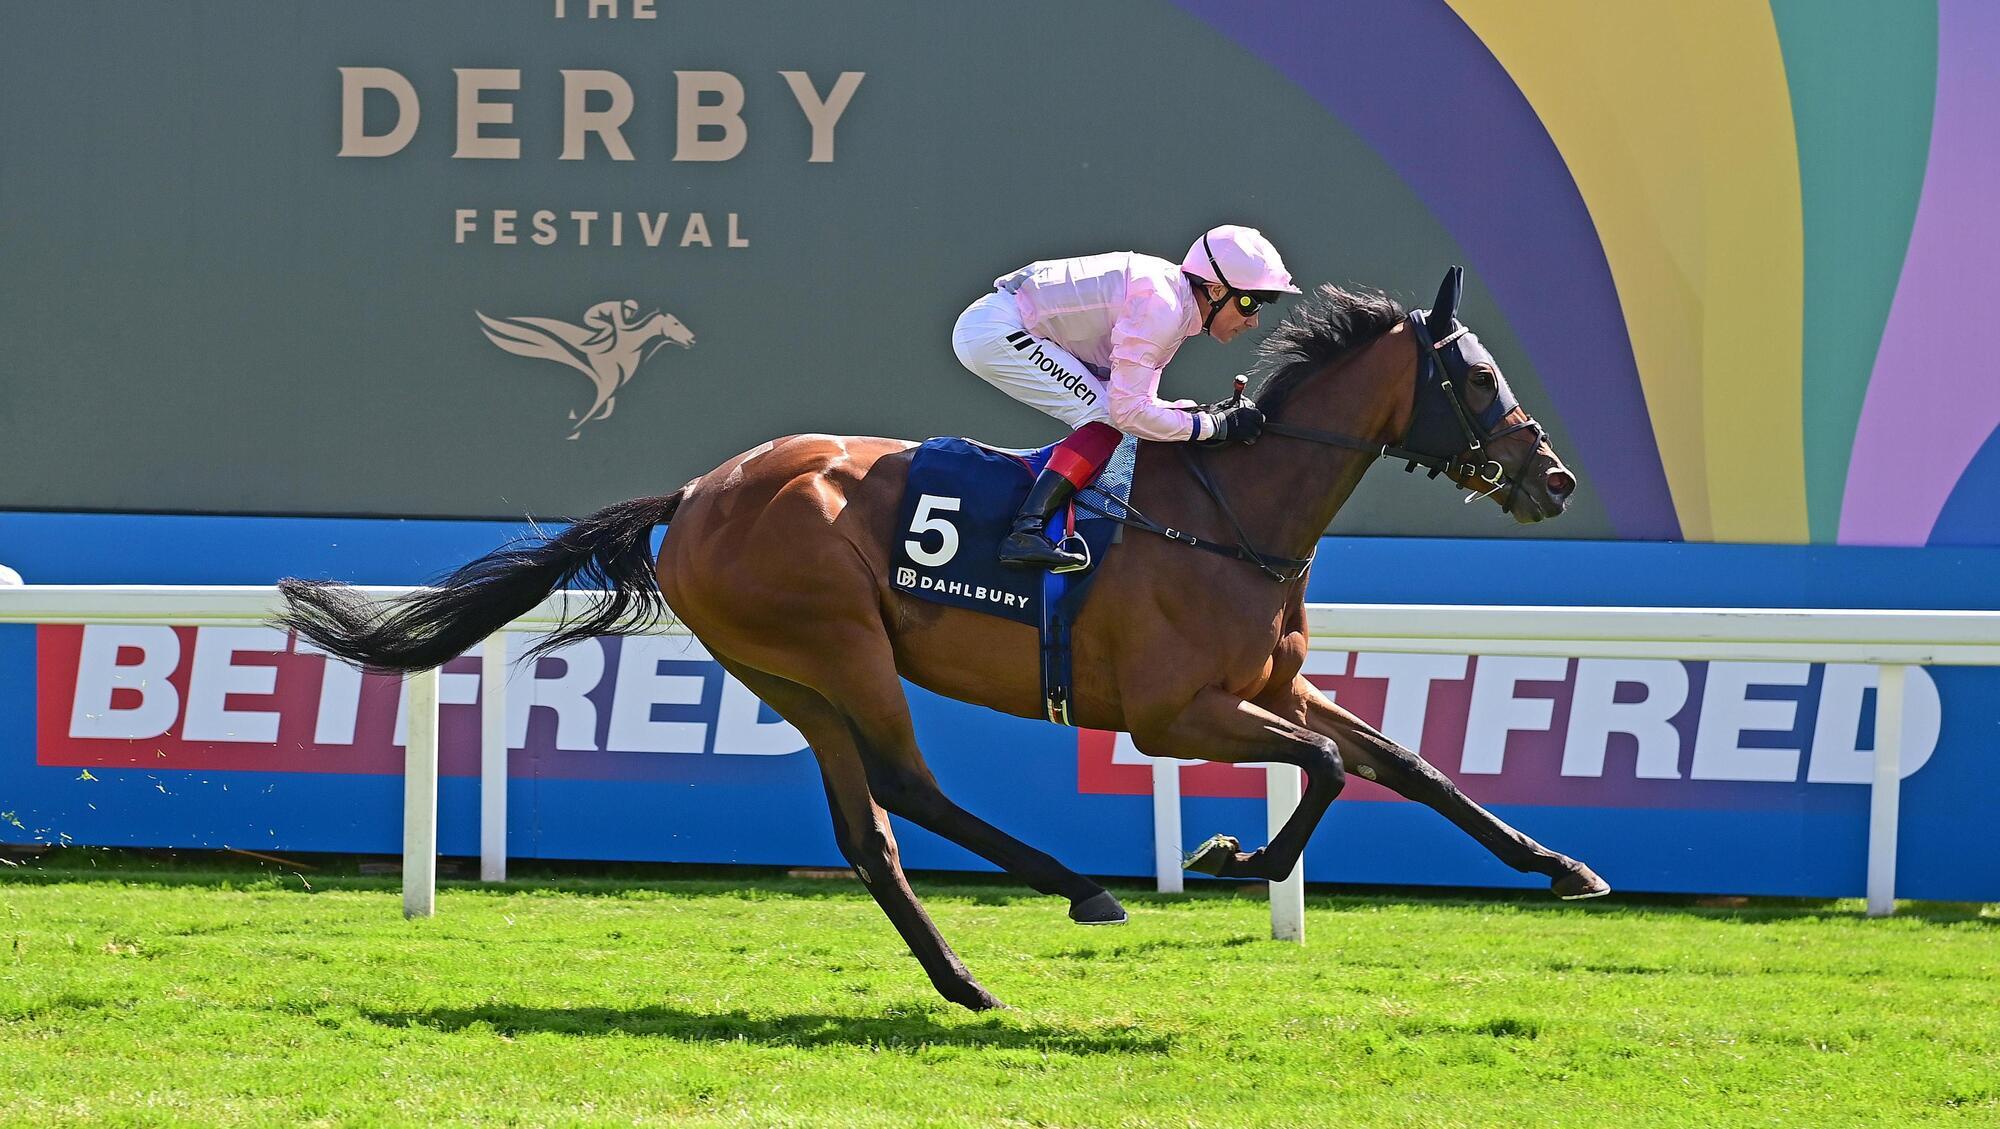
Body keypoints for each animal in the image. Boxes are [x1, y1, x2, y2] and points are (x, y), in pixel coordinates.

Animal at [278, 268, 1607, 1011]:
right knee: (908, 787)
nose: (1552, 475)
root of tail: (697, 491)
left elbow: (1407, 764)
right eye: (1473, 377)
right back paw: (1078, 891)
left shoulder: (1269, 686)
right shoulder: (1173, 713)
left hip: (788, 672)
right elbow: (1328, 769)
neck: (1232, 510)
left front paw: (1558, 868)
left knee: (869, 829)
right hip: (836, 646)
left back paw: (964, 976)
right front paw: (1236, 856)